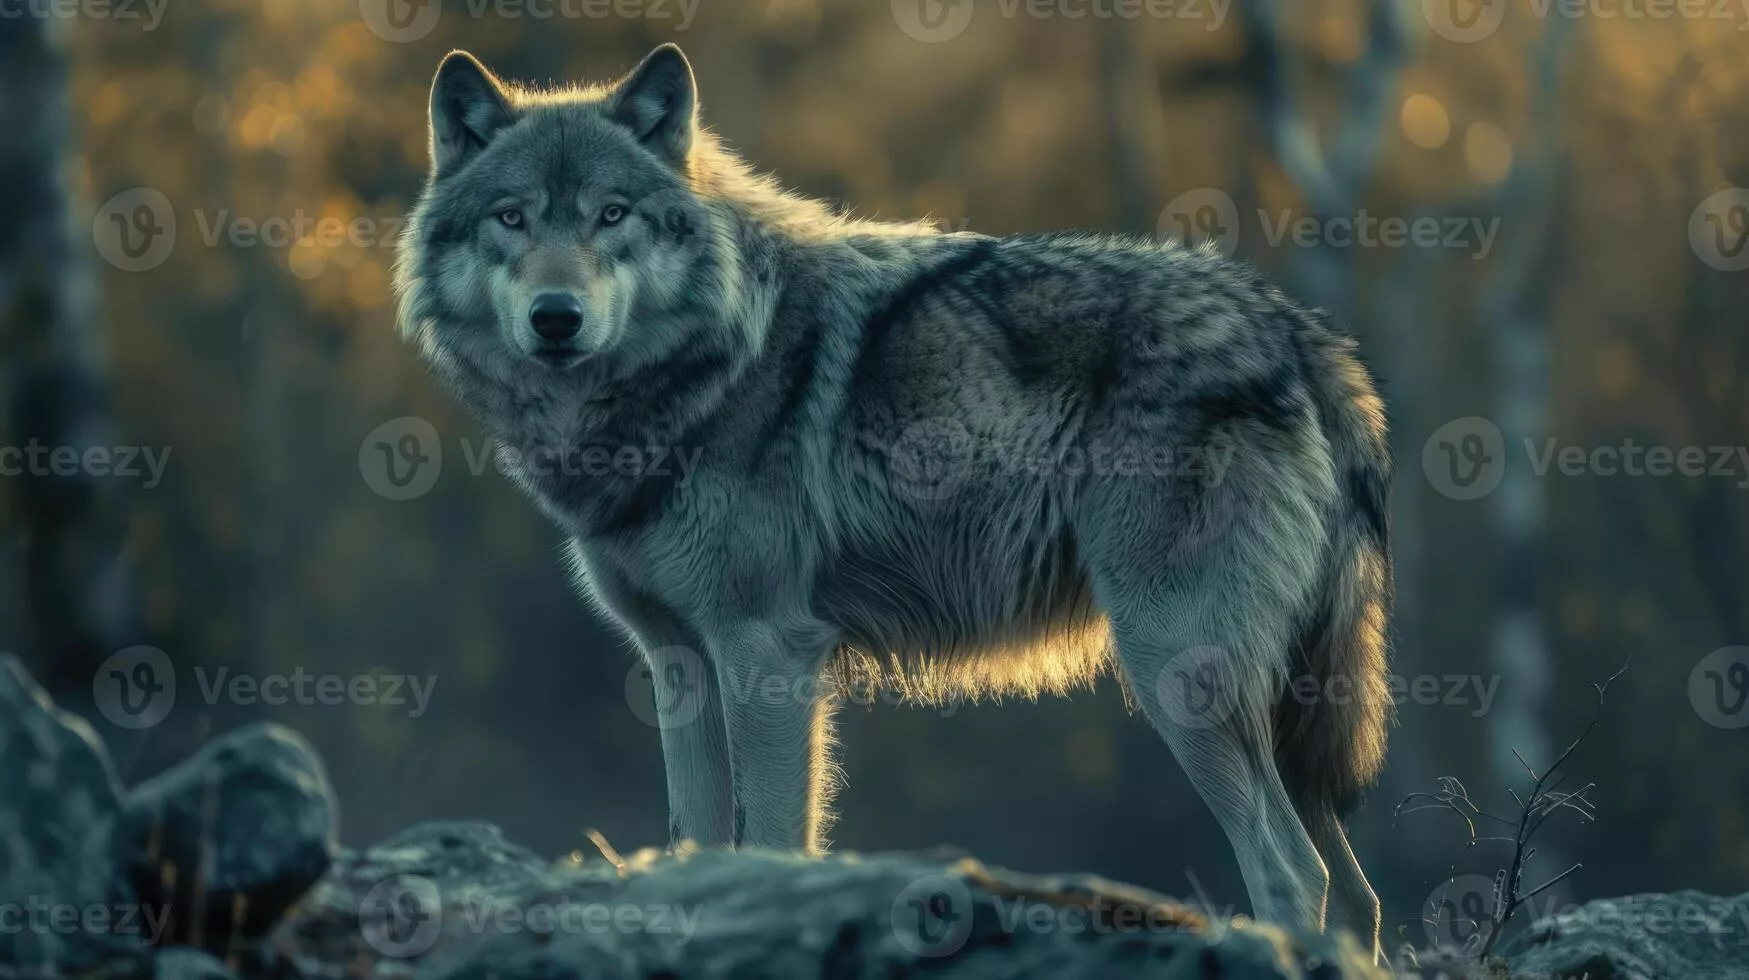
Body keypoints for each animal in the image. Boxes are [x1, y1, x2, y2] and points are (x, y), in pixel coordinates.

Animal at [393, 43, 1395, 952]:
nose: (555, 319)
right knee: (1356, 892)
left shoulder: (767, 652)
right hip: (1274, 704)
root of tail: (1300, 332)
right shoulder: (677, 660)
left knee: (1292, 872)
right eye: (512, 219)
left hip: (1175, 671)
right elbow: (695, 850)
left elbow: (772, 842)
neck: (705, 370)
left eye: (611, 216)